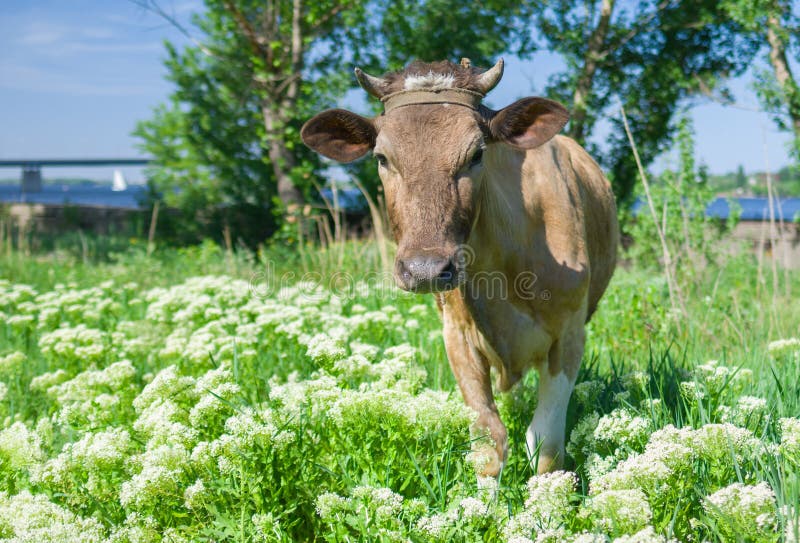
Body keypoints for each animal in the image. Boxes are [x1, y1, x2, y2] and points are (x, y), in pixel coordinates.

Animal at [301, 58, 618, 476]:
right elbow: (488, 438)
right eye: (382, 158)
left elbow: (545, 443)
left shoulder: (569, 335)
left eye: (476, 154)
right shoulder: (457, 336)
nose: (425, 269)